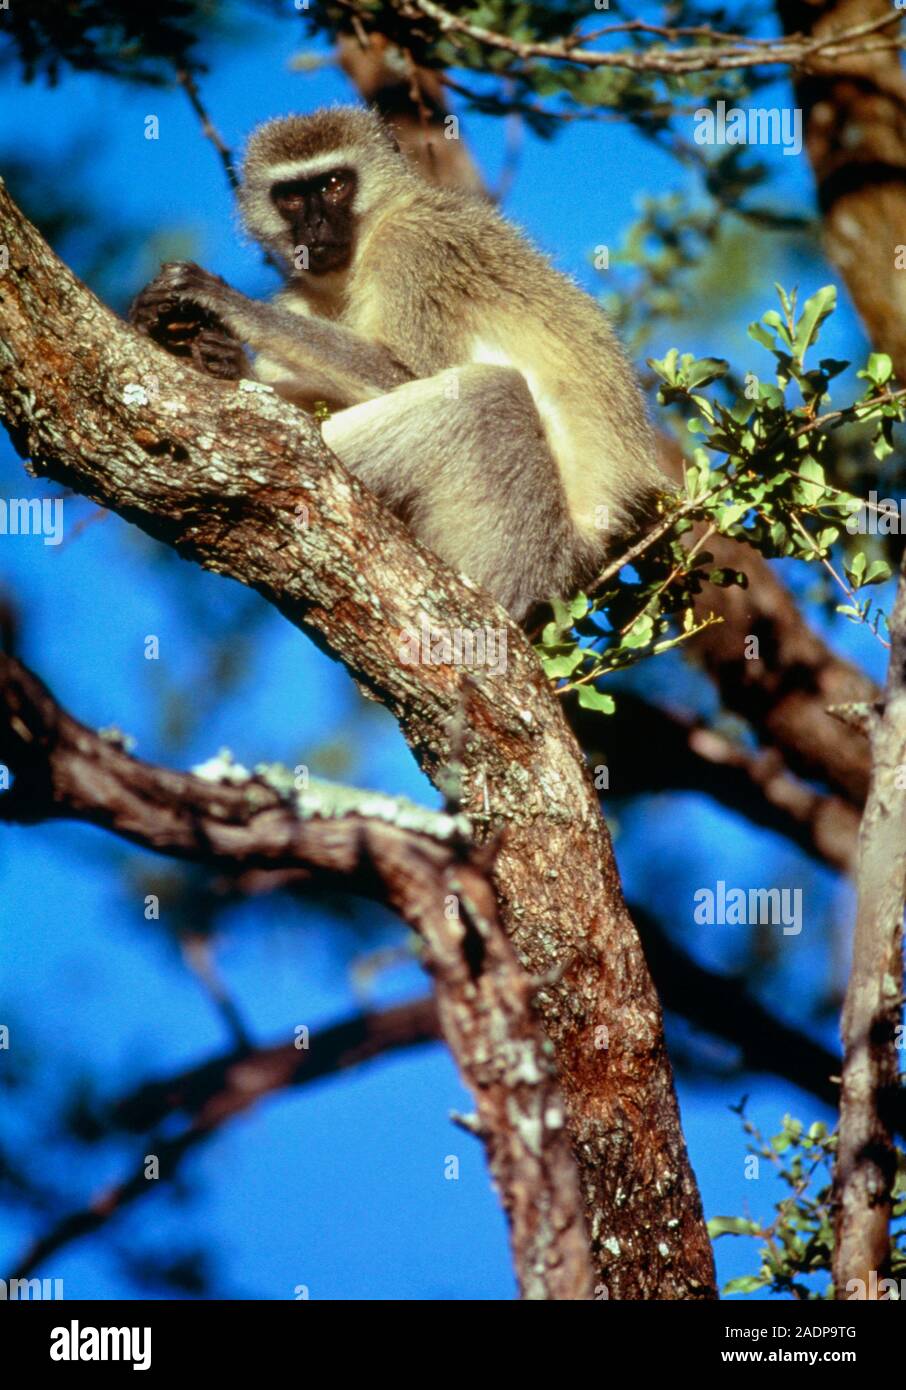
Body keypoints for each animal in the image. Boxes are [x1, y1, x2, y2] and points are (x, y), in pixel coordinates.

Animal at [129, 105, 665, 621]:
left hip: (528, 548)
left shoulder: (413, 251)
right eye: (293, 197)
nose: (315, 226)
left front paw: (225, 306)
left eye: (334, 184)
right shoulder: (304, 291)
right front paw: (217, 355)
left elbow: (409, 374)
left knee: (486, 396)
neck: (367, 242)